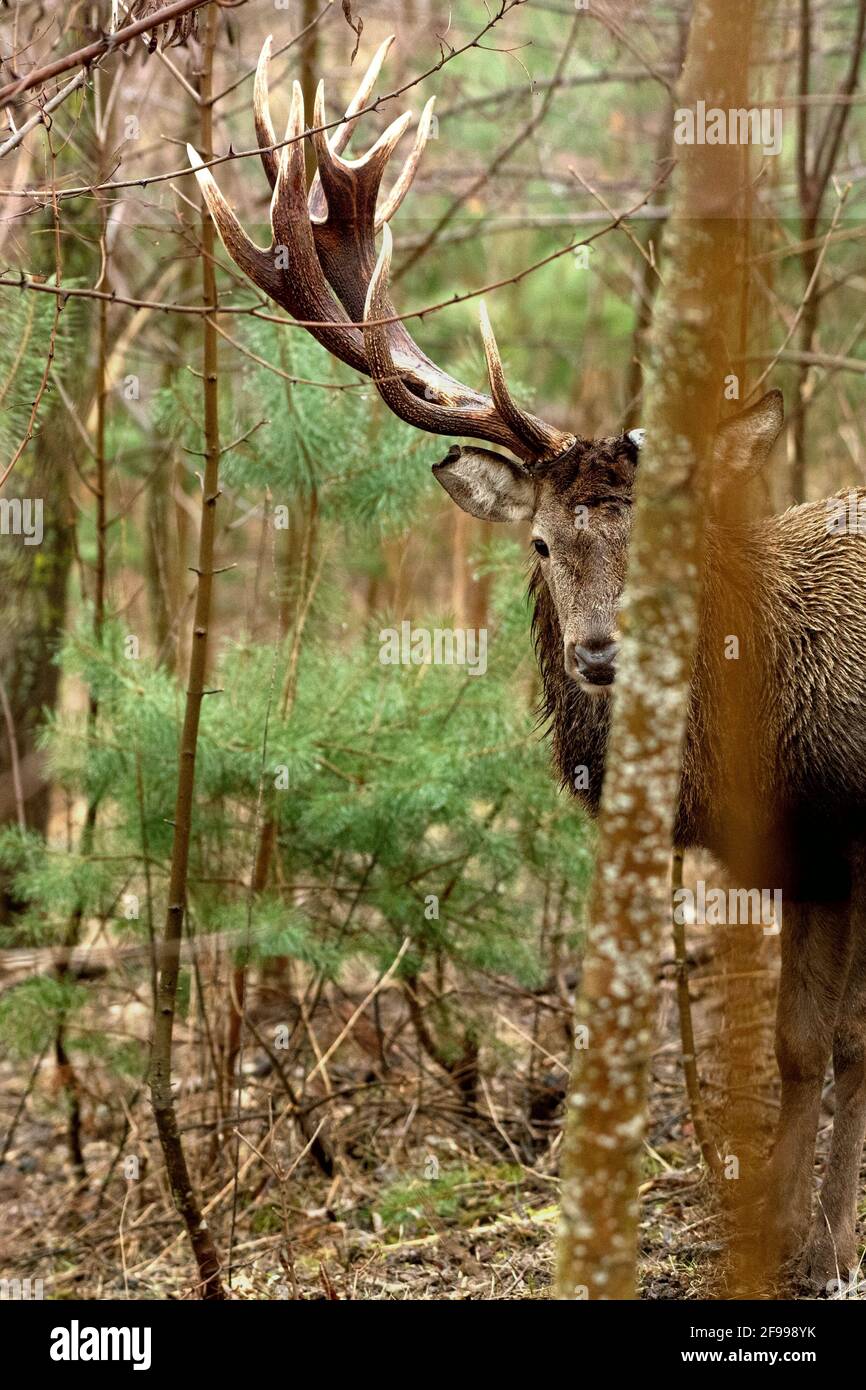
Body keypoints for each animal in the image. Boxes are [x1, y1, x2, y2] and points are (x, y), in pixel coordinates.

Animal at [189, 36, 866, 1286]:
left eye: (672, 541)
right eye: (543, 542)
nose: (601, 651)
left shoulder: (852, 833)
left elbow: (845, 1040)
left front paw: (830, 1248)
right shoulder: (797, 854)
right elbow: (797, 1047)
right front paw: (778, 1245)